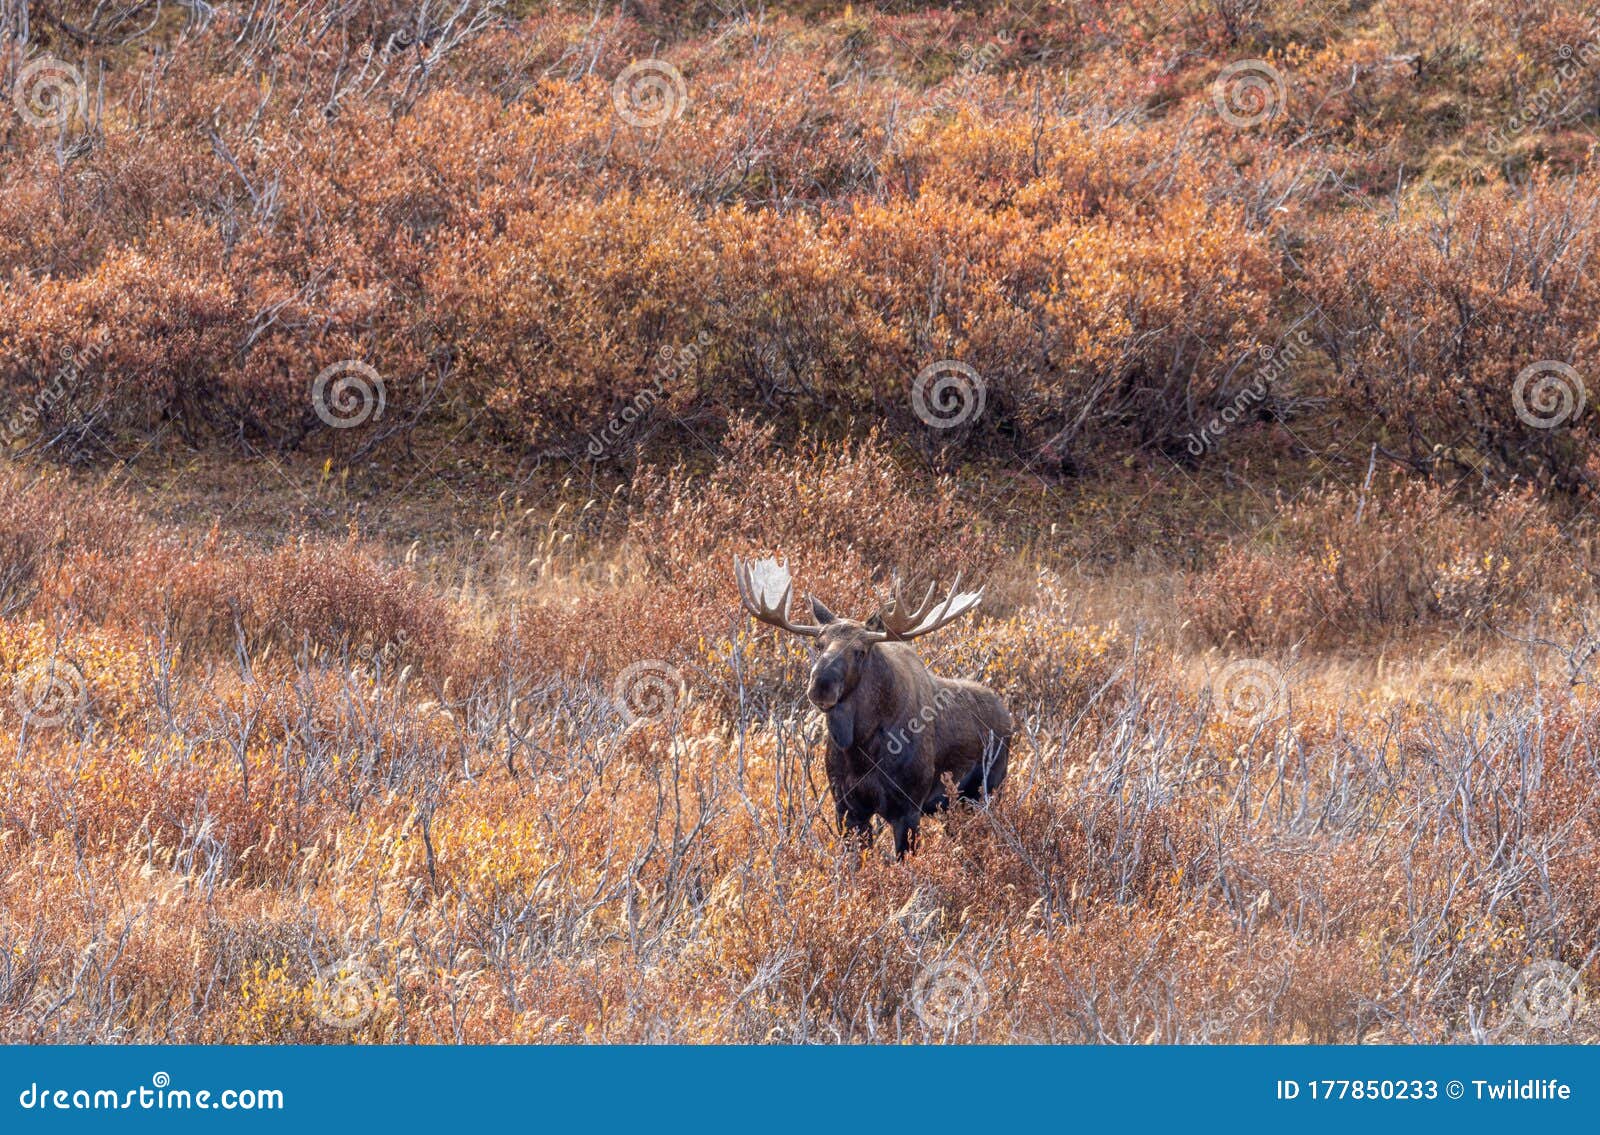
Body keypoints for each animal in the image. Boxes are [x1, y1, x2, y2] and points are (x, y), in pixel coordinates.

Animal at [734, 557, 1012, 858]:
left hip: (985, 792)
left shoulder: (907, 809)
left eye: (860, 651)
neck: (860, 748)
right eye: (819, 644)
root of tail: (1008, 718)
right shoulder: (847, 808)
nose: (821, 685)